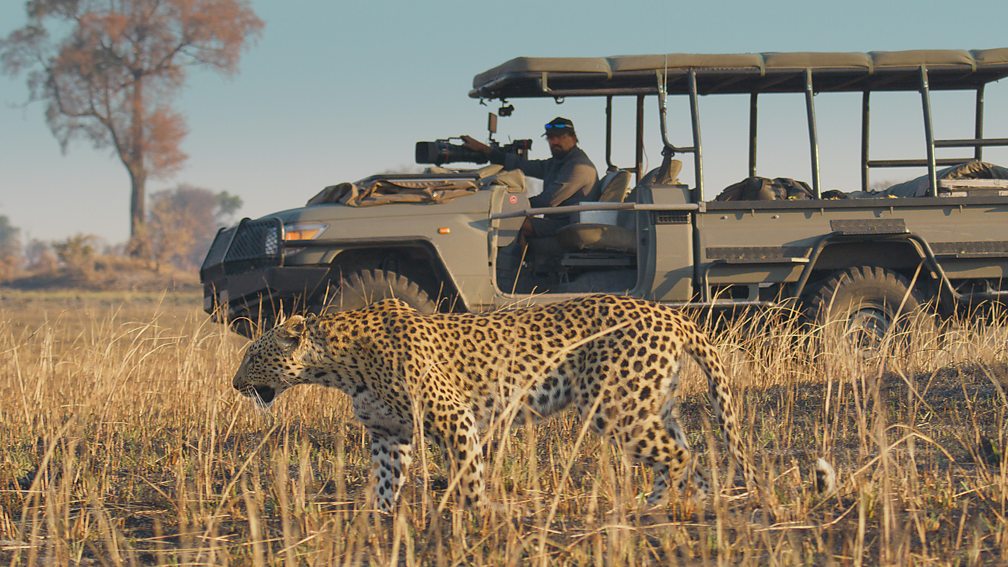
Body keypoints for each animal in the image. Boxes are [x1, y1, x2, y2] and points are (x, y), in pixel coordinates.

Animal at [232, 294, 756, 513]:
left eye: (252, 355)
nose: (235, 384)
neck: (339, 368)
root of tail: (669, 313)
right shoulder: (389, 435)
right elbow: (383, 483)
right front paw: (377, 524)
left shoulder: (454, 418)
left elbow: (469, 477)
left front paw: (478, 518)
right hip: (651, 402)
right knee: (688, 450)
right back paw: (682, 502)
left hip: (615, 408)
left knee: (679, 455)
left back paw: (663, 510)